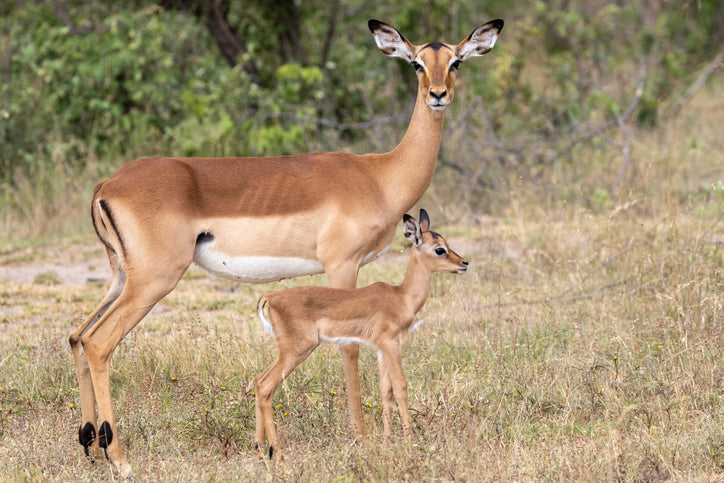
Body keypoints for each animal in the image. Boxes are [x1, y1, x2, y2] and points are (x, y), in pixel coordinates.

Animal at [254, 209, 468, 461]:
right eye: (439, 249)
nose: (464, 263)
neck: (401, 298)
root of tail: (271, 295)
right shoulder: (391, 345)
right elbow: (401, 387)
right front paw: (410, 441)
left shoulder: (380, 349)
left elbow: (385, 390)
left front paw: (388, 439)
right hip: (297, 350)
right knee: (266, 387)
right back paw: (277, 454)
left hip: (287, 351)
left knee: (258, 381)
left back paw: (259, 449)